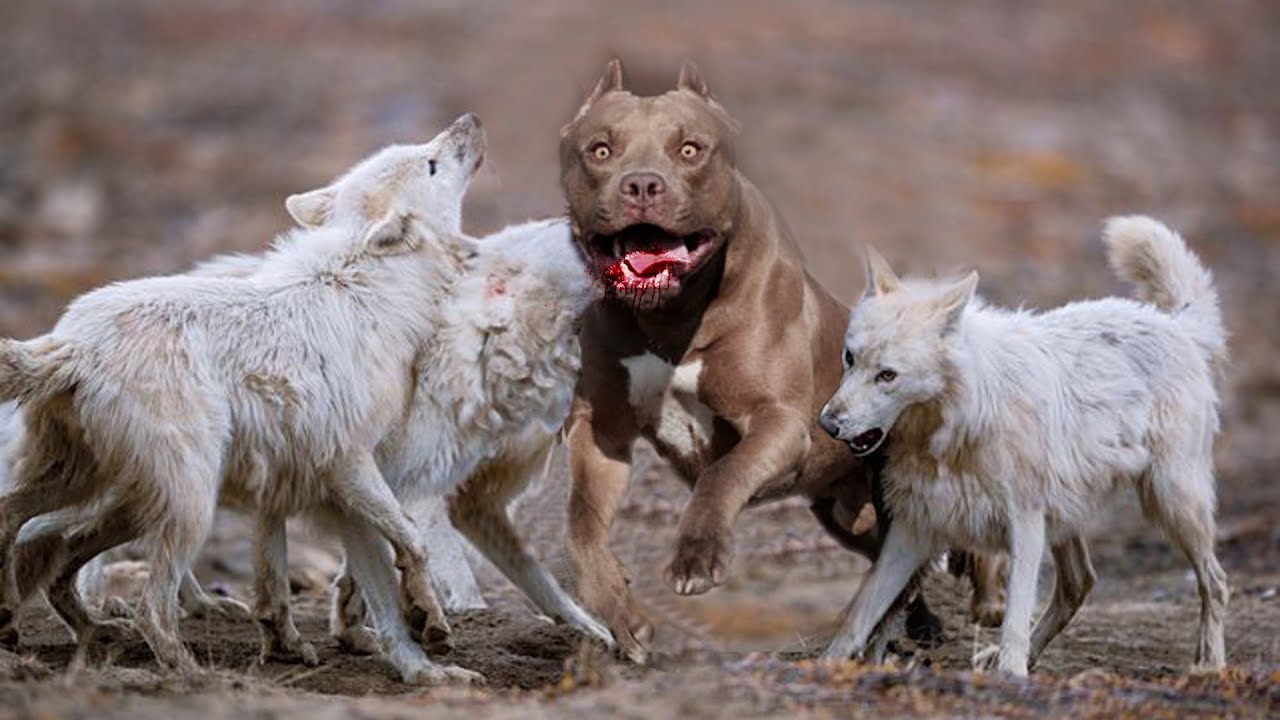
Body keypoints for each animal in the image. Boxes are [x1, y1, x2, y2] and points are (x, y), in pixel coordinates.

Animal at [818, 215, 1229, 676]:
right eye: (849, 358)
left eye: (887, 375)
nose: (828, 423)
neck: (953, 432)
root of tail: (1177, 326)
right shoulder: (915, 528)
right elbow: (861, 614)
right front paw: (825, 666)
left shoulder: (1024, 522)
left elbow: (1014, 616)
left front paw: (1011, 676)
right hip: (1069, 517)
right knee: (1079, 584)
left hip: (1172, 503)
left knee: (1215, 581)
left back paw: (1211, 665)